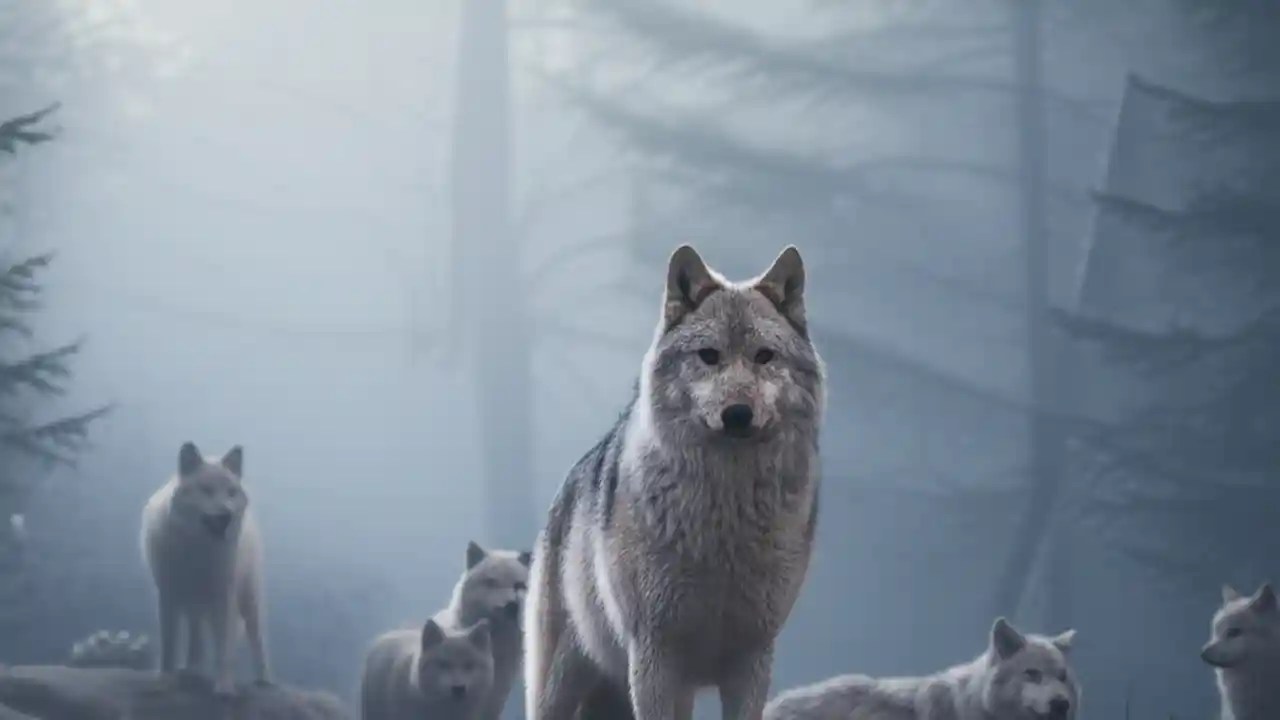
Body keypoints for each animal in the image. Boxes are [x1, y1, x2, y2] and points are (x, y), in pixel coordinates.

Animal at [140, 441, 269, 696]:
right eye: (206, 490)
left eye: (230, 492)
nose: (226, 514)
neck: (197, 550)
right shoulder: (168, 596)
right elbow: (169, 644)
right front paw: (165, 680)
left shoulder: (223, 597)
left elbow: (223, 649)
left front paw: (224, 687)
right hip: (195, 605)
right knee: (195, 637)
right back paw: (190, 670)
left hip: (248, 601)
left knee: (256, 639)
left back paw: (264, 680)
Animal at [525, 244, 825, 720]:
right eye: (709, 355)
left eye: (763, 356)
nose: (737, 414)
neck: (725, 522)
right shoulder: (658, 660)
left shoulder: (753, 659)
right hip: (561, 684)